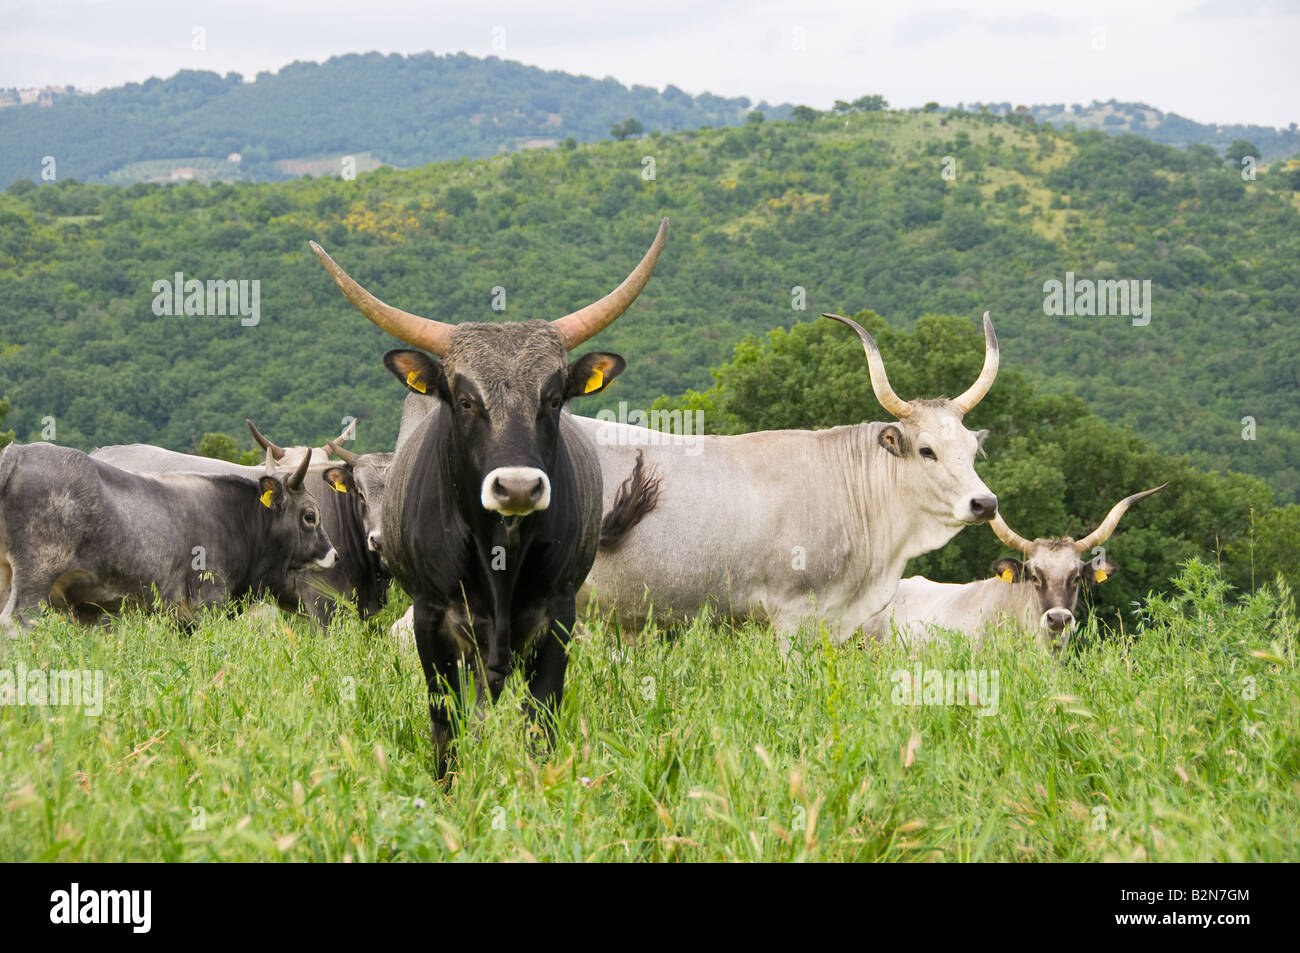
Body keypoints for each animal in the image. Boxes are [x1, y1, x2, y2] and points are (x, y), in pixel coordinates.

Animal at [310, 219, 667, 765]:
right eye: (464, 400)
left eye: (554, 398)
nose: (517, 485)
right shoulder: (432, 620)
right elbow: (445, 723)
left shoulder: (557, 617)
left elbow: (540, 721)